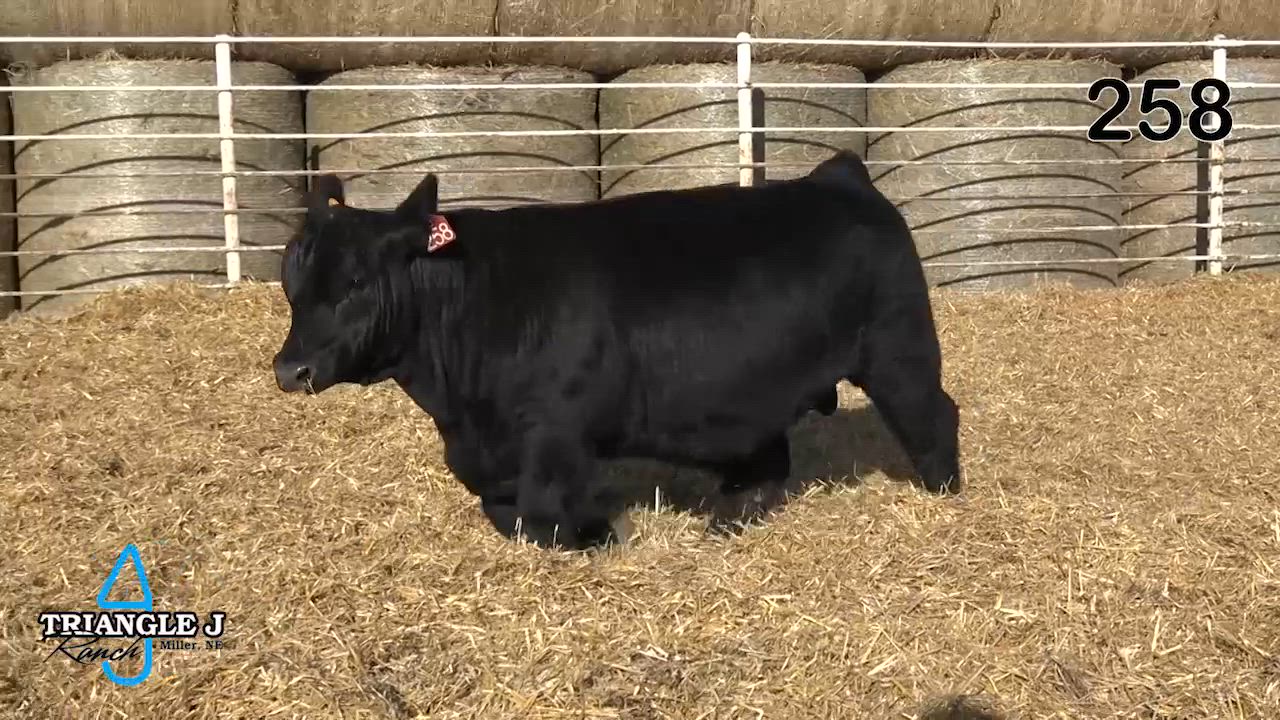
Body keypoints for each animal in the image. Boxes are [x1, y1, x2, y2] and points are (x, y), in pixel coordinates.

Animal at [272, 151, 961, 551]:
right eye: (291, 284)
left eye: (356, 282)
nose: (289, 370)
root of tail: (837, 177)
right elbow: (510, 516)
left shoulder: (556, 435)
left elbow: (549, 514)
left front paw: (603, 536)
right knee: (765, 465)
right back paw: (725, 523)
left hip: (900, 353)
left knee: (933, 417)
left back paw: (945, 494)